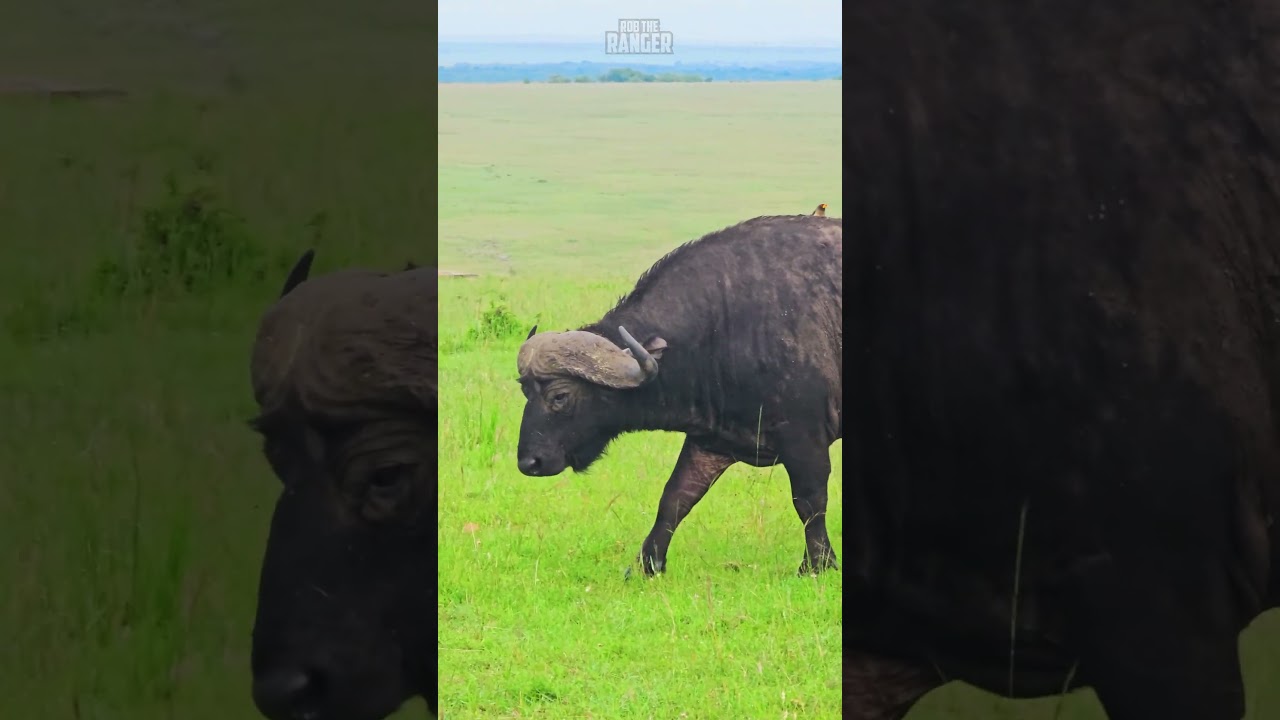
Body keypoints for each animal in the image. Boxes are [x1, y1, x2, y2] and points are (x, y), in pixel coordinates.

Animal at [514, 214, 843, 576]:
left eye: (559, 396)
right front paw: (646, 564)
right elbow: (675, 498)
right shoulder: (711, 443)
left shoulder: (805, 441)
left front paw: (817, 564)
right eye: (524, 390)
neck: (722, 327)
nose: (529, 462)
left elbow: (809, 501)